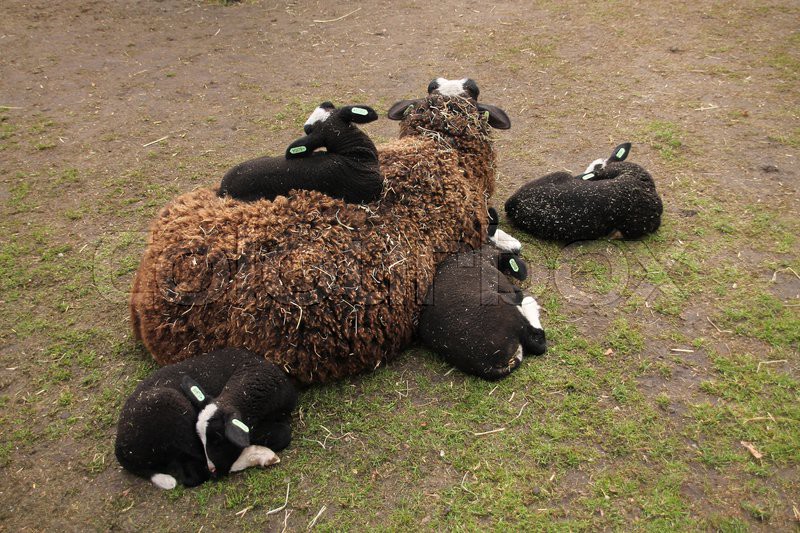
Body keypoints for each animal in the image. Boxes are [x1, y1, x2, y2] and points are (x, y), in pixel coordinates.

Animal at [115, 347, 297, 489]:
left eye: (218, 440)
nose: (213, 468)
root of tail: (121, 447)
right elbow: (282, 434)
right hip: (174, 411)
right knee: (197, 475)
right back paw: (260, 455)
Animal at [417, 242, 546, 380]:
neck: (482, 255)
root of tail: (484, 366)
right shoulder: (503, 285)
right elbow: (518, 293)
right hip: (503, 306)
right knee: (538, 342)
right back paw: (531, 304)